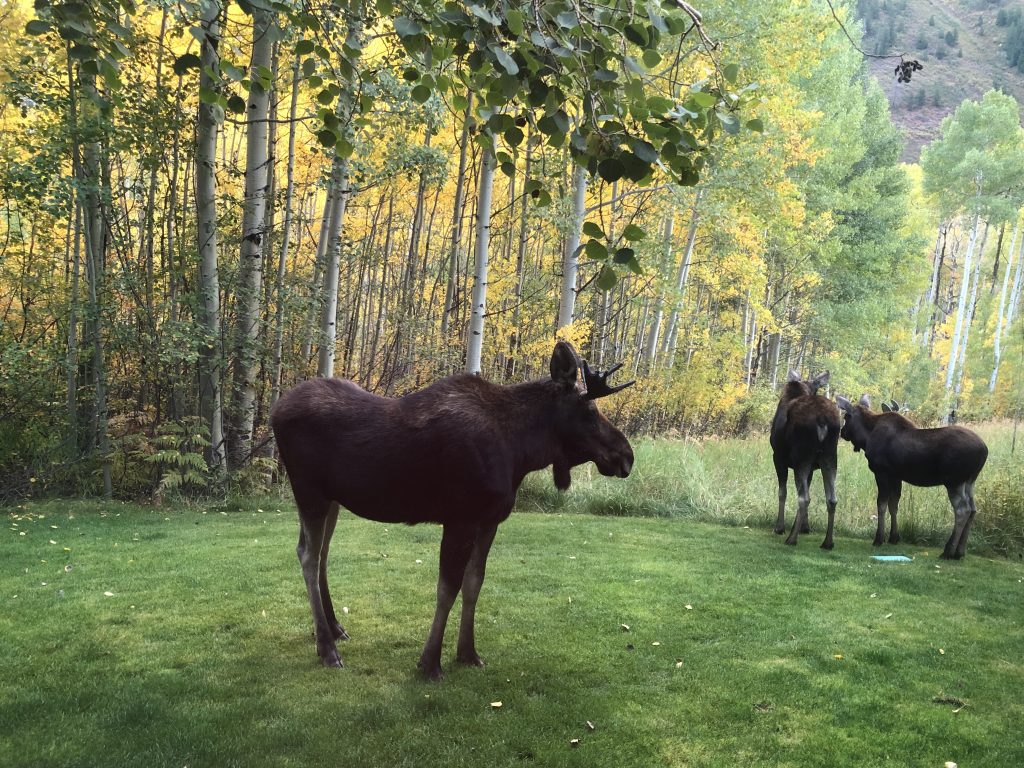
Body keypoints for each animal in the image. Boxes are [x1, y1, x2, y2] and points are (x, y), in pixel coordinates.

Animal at [270, 341, 634, 679]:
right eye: (589, 411)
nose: (626, 456)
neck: (522, 452)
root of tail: (274, 411)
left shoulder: (490, 519)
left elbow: (474, 583)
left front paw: (468, 653)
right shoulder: (460, 517)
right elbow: (447, 589)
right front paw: (430, 662)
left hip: (333, 498)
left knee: (321, 553)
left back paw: (332, 628)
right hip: (308, 490)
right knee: (307, 554)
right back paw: (326, 649)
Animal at [770, 370, 841, 549]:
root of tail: (822, 420)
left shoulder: (778, 457)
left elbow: (782, 492)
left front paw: (779, 527)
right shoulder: (812, 467)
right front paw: (805, 527)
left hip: (801, 457)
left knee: (804, 498)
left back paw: (791, 538)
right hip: (830, 457)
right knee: (832, 499)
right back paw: (827, 542)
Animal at [836, 395, 988, 560]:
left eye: (846, 416)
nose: (842, 432)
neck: (866, 437)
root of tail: (984, 450)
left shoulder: (882, 472)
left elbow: (881, 505)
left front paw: (879, 538)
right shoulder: (896, 476)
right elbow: (894, 505)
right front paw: (894, 537)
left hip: (954, 481)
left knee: (962, 510)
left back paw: (948, 551)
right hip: (969, 481)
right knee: (973, 509)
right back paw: (960, 552)